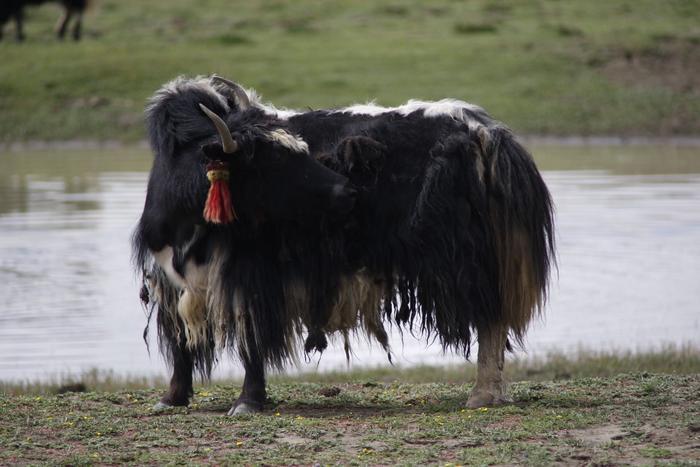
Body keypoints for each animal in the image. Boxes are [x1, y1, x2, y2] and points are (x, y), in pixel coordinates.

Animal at [133, 75, 555, 415]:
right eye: (268, 163)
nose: (346, 192)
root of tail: (488, 133)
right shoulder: (170, 280)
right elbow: (180, 343)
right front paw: (171, 399)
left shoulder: (251, 275)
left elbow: (252, 340)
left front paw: (247, 403)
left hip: (464, 258)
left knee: (489, 318)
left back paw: (482, 395)